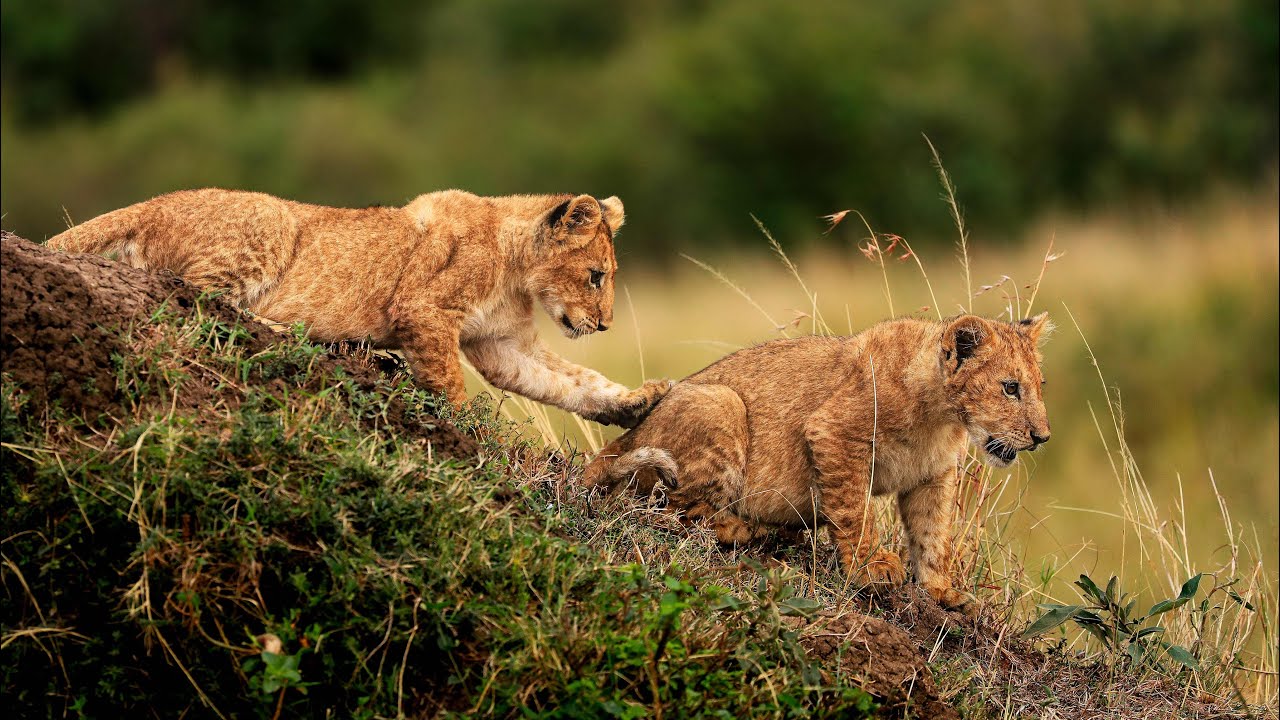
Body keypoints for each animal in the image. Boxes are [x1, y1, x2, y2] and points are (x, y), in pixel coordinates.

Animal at [47, 188, 670, 426]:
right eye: (596, 277)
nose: (604, 324)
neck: (515, 268)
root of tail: (152, 203)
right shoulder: (423, 311)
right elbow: (451, 387)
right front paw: (469, 430)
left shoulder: (503, 345)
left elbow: (574, 381)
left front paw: (638, 401)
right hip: (270, 223)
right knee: (193, 294)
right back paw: (298, 331)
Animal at [583, 313, 1052, 609]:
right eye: (1010, 388)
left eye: (1038, 385)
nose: (1042, 438)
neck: (940, 417)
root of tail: (623, 439)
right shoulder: (834, 432)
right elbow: (855, 510)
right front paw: (871, 568)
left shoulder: (933, 475)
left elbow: (933, 535)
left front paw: (942, 591)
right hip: (721, 403)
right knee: (672, 512)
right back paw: (749, 529)